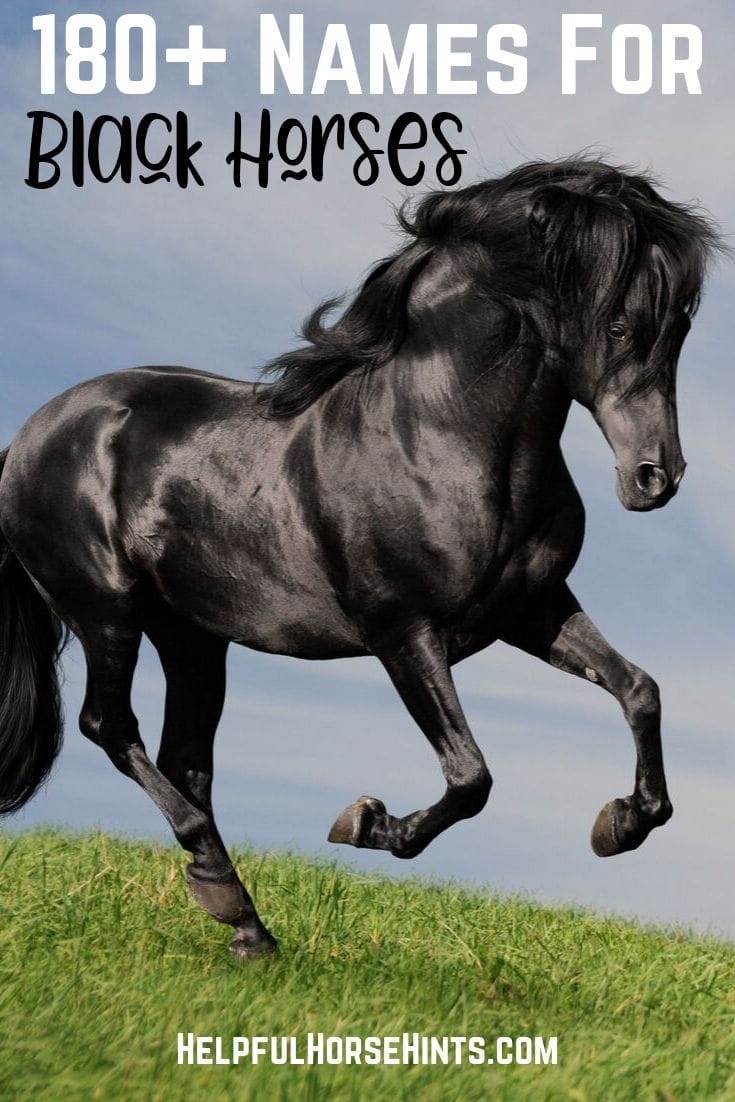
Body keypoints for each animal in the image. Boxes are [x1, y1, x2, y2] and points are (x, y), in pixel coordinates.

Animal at [0, 158, 719, 958]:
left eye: (682, 326)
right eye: (619, 322)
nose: (654, 478)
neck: (438, 437)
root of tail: (31, 434)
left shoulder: (531, 610)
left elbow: (639, 691)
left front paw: (619, 823)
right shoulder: (403, 633)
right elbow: (470, 777)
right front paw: (366, 822)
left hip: (192, 637)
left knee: (185, 760)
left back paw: (246, 925)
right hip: (108, 613)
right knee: (110, 728)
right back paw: (223, 889)